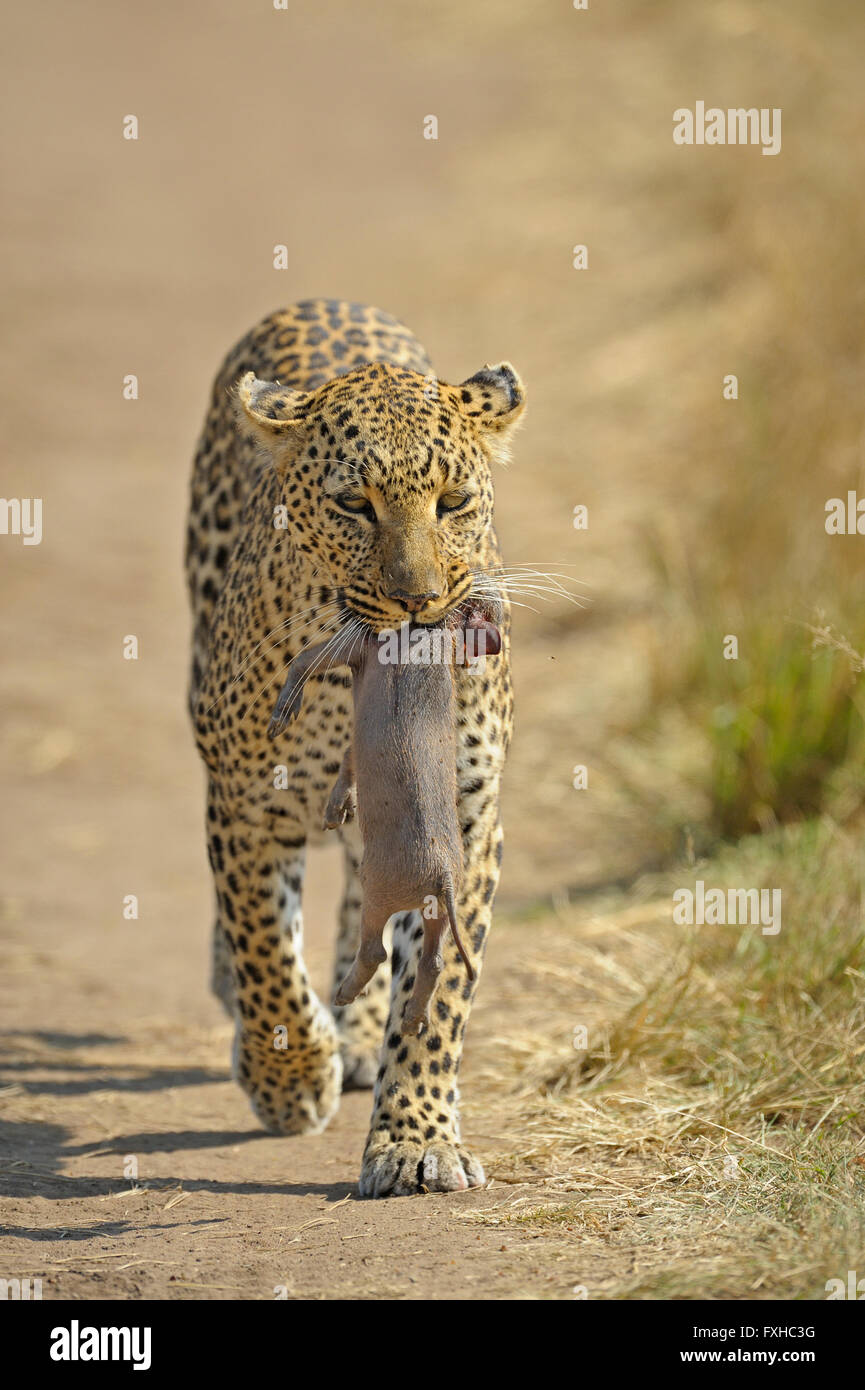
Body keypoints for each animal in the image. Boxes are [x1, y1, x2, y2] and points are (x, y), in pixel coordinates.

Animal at [186, 299, 524, 1198]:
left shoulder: (465, 817)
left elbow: (438, 994)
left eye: (451, 501)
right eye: (352, 504)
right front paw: (290, 1077)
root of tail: (323, 301)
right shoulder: (246, 801)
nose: (418, 600)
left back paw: (363, 1025)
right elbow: (264, 946)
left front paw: (415, 1140)